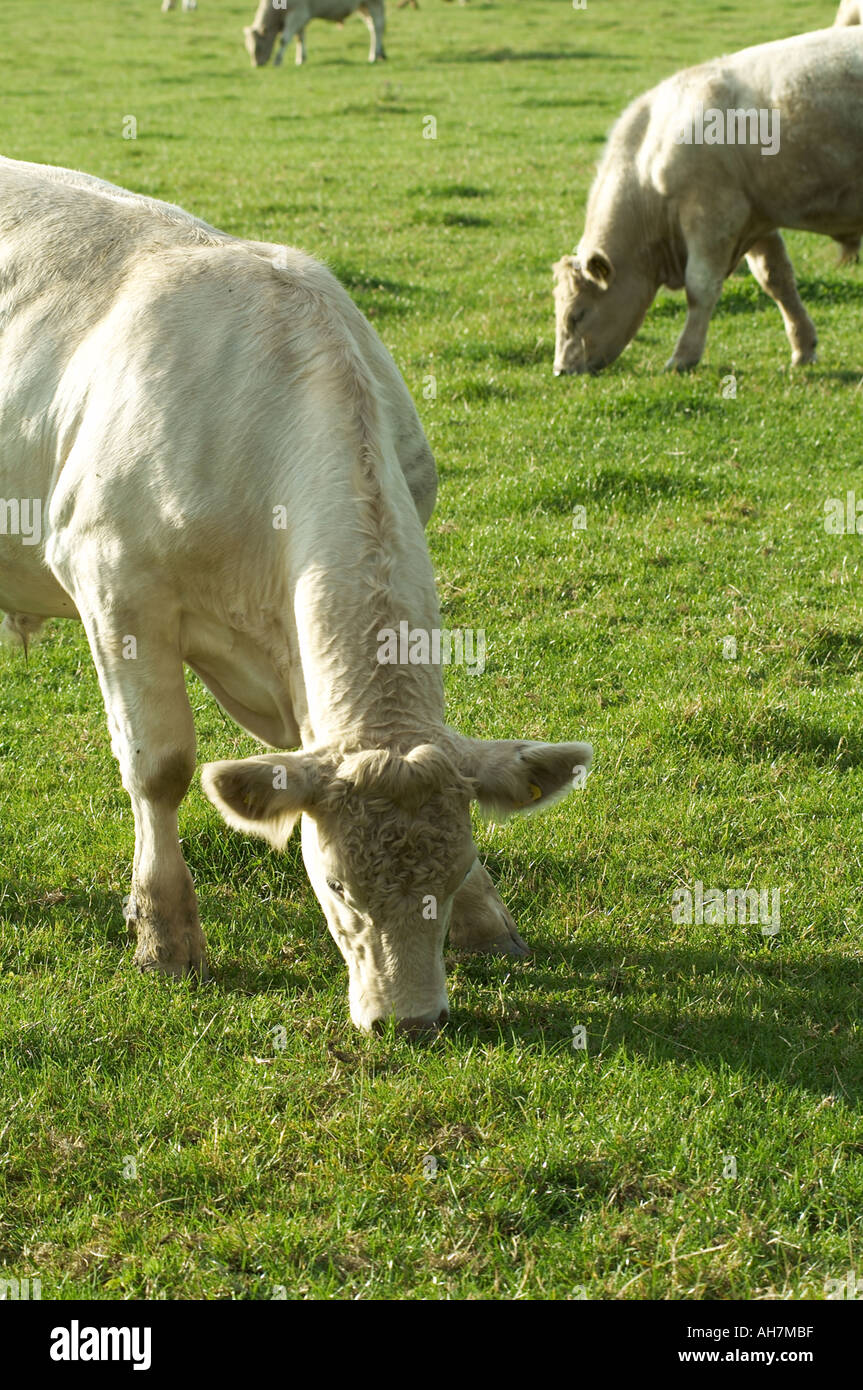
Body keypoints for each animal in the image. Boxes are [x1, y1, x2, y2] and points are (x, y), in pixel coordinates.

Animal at [0, 156, 592, 1036]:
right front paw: (166, 935)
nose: (409, 1021)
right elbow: (159, 768)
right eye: (337, 882)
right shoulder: (116, 590)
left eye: (451, 878)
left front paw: (488, 921)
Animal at [244, 0, 386, 67]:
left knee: (378, 26)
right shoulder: (301, 17)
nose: (256, 65)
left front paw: (278, 60)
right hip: (362, 5)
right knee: (371, 26)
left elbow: (284, 39)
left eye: (258, 47)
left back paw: (374, 55)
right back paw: (380, 54)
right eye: (248, 47)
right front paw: (300, 59)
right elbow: (300, 38)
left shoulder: (298, 14)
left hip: (374, 2)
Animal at [552, 27, 863, 376]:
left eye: (576, 314)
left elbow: (700, 289)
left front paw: (683, 356)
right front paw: (803, 347)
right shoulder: (756, 217)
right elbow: (777, 279)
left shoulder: (712, 217)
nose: (560, 369)